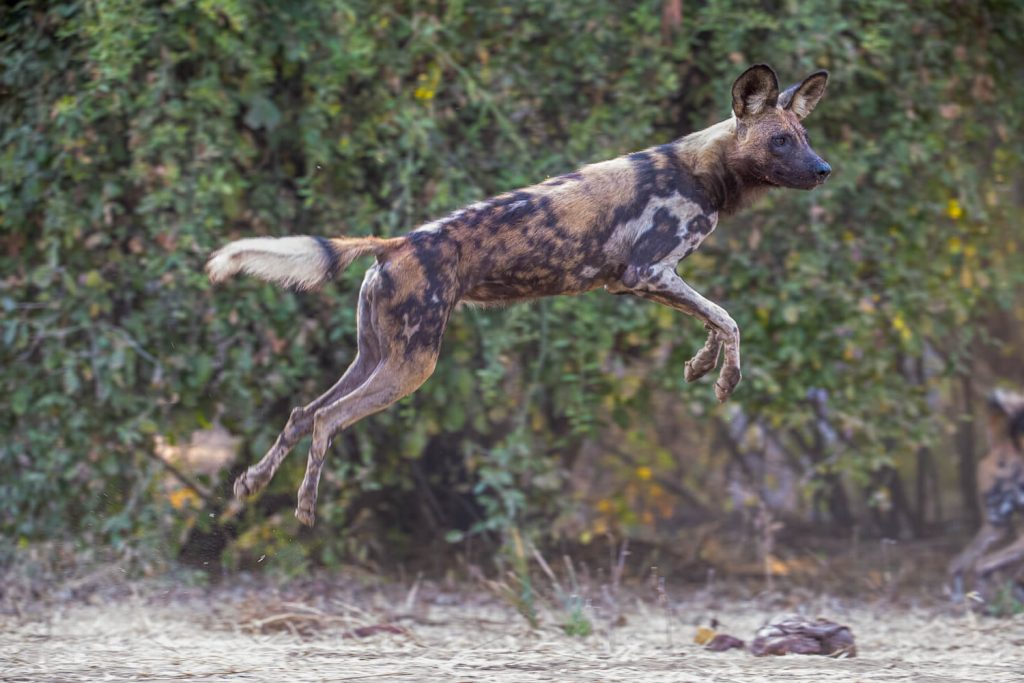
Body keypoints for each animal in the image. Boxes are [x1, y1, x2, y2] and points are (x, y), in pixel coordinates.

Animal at [207, 64, 832, 525]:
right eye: (780, 141)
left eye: (804, 138)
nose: (824, 169)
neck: (705, 168)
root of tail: (398, 243)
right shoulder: (647, 272)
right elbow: (728, 318)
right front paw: (724, 377)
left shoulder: (653, 280)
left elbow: (713, 320)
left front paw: (702, 366)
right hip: (412, 366)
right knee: (329, 420)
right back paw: (305, 509)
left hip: (374, 356)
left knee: (302, 413)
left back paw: (251, 483)